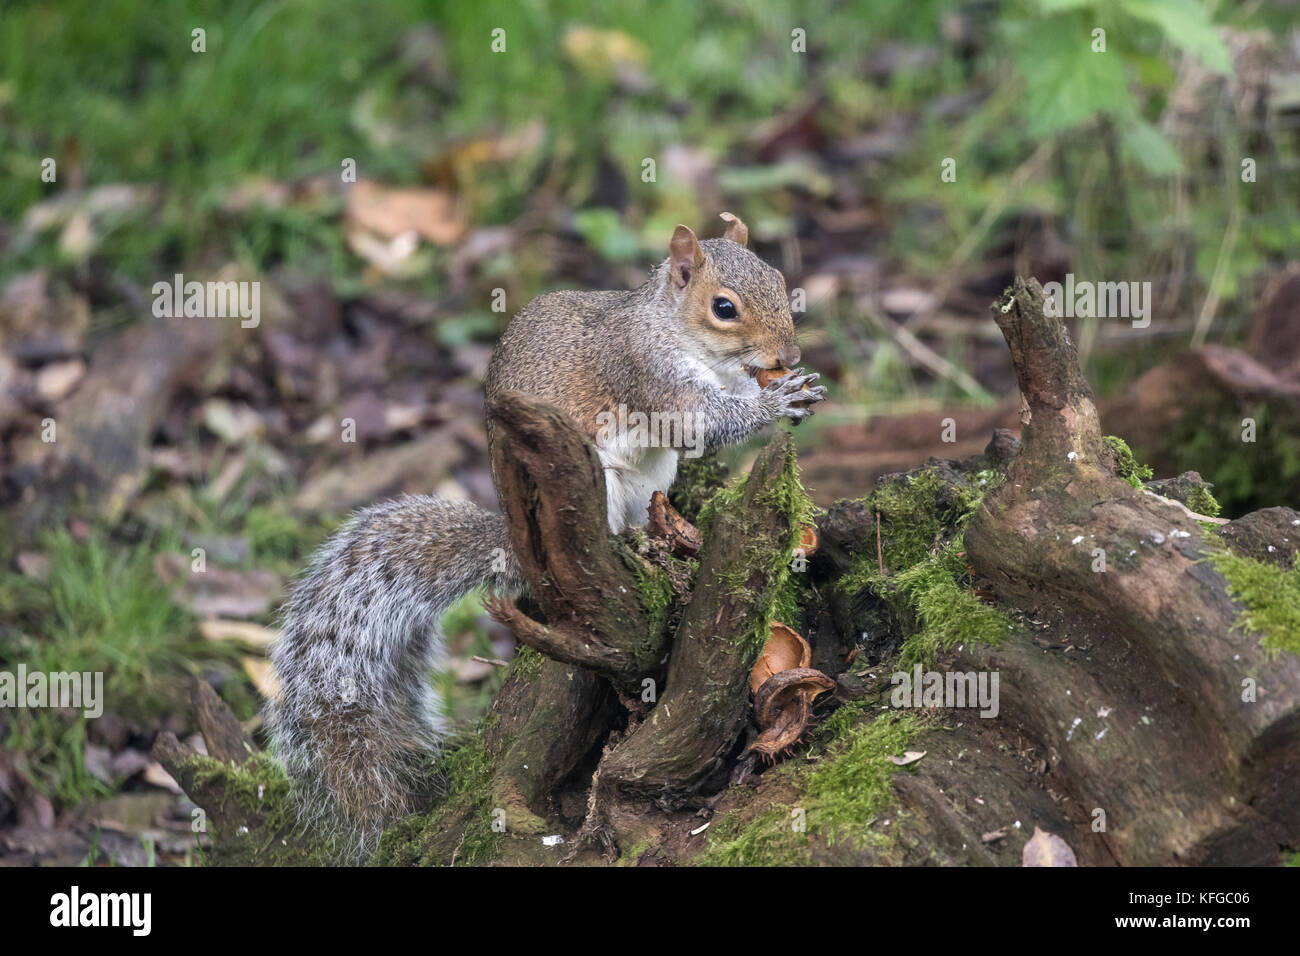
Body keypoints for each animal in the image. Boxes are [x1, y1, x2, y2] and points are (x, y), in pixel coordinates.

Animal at [264, 212, 827, 858]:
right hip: (592, 486)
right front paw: (775, 400)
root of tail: (513, 543)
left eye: (781, 282)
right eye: (724, 308)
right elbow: (701, 422)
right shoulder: (647, 373)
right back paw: (633, 547)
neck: (672, 330)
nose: (788, 354)